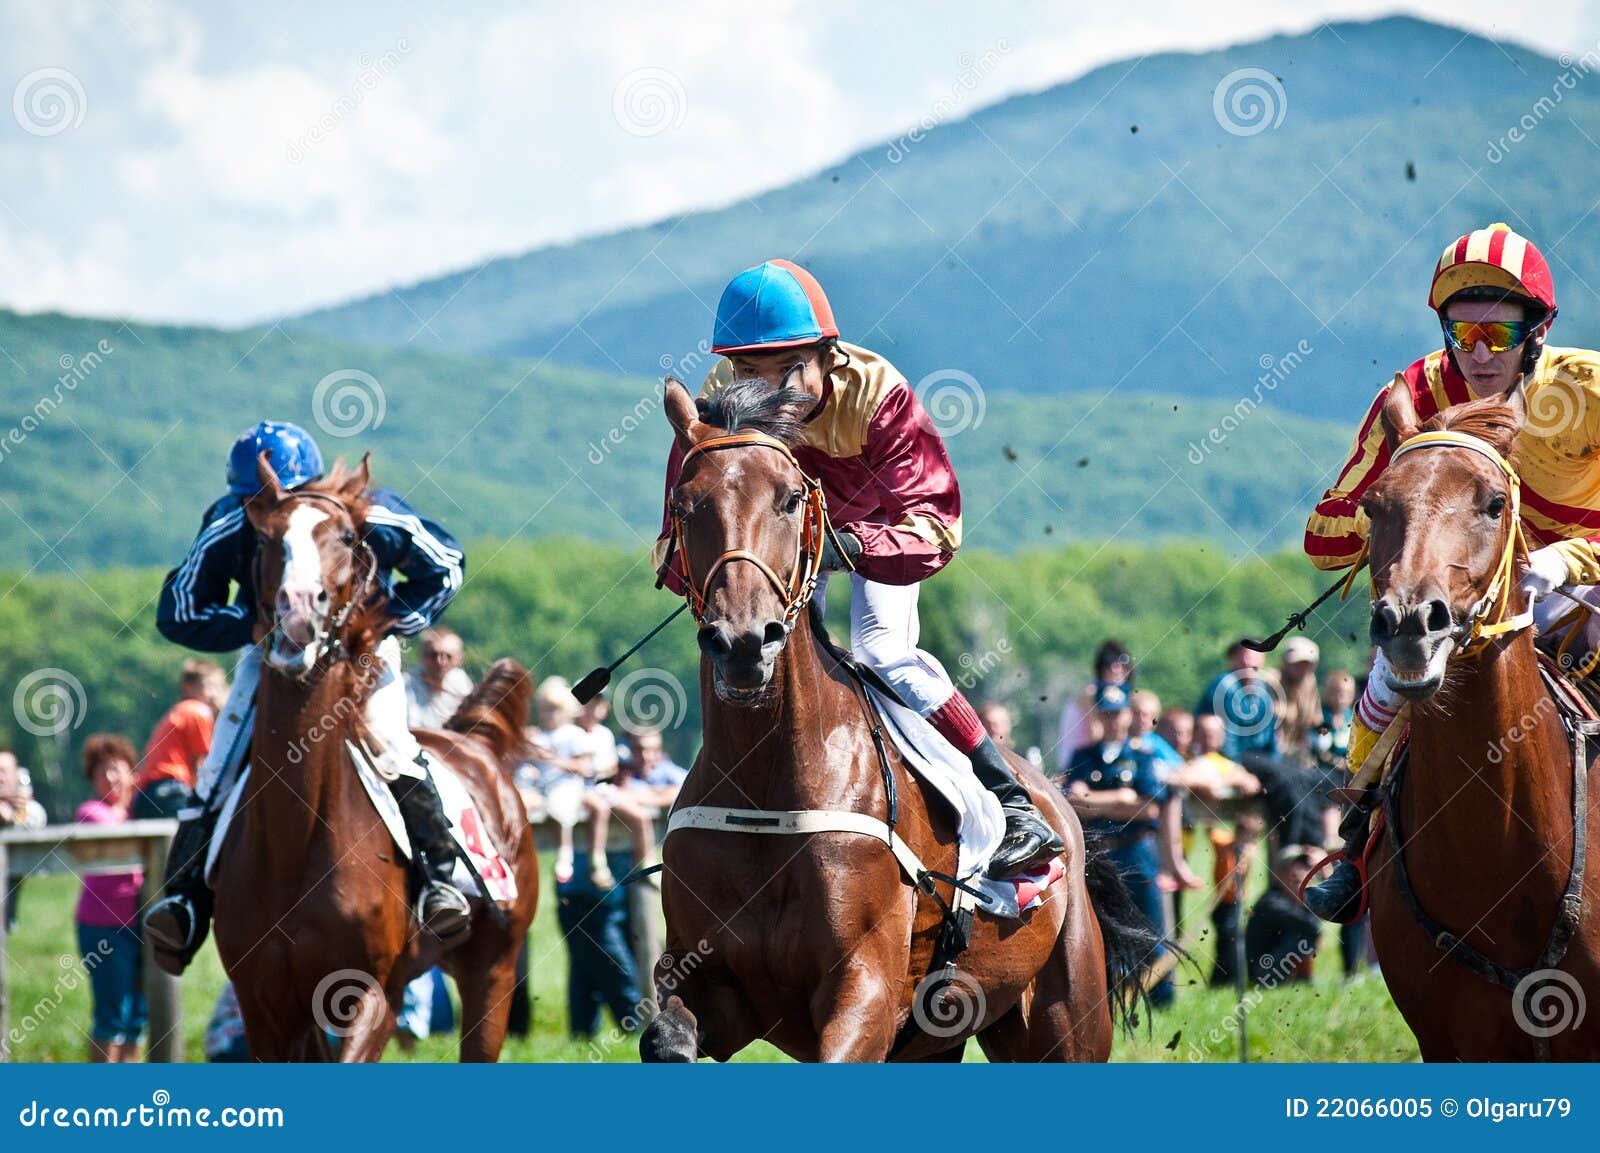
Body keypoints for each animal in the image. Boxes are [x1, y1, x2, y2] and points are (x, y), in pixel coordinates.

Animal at [210, 454, 539, 1061]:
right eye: (265, 539)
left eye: (345, 536)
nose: (297, 613)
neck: (296, 843)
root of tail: (475, 742)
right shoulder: (266, 1008)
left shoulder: (370, 993)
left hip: (494, 969)